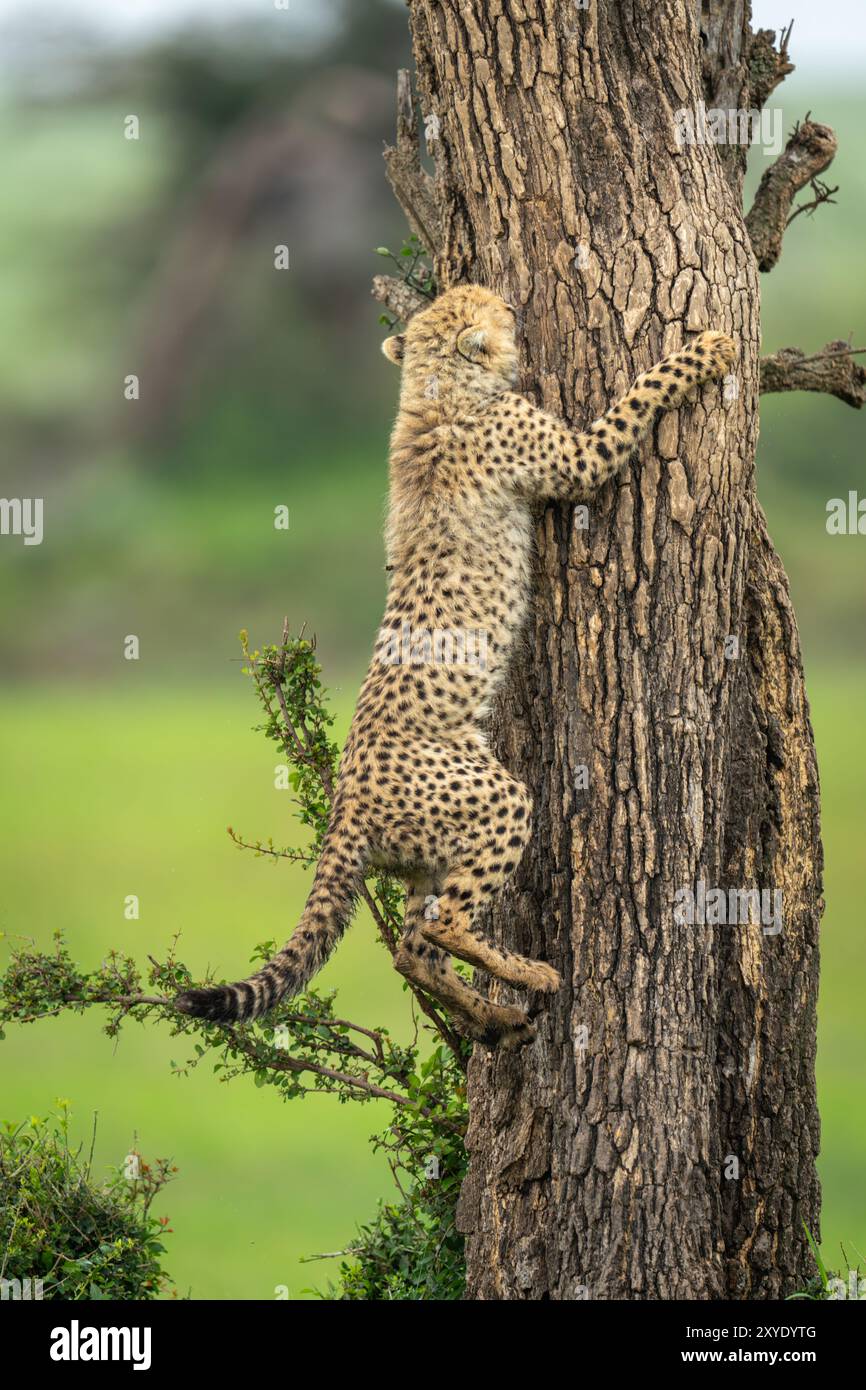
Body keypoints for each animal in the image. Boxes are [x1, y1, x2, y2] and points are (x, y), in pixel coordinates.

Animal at [176, 284, 735, 1048]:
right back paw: (530, 977)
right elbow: (640, 393)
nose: (512, 306)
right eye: (492, 308)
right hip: (495, 799)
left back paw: (496, 1018)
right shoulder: (579, 459)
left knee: (414, 951)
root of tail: (344, 800)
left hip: (426, 856)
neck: (435, 387)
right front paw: (707, 350)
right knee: (448, 927)